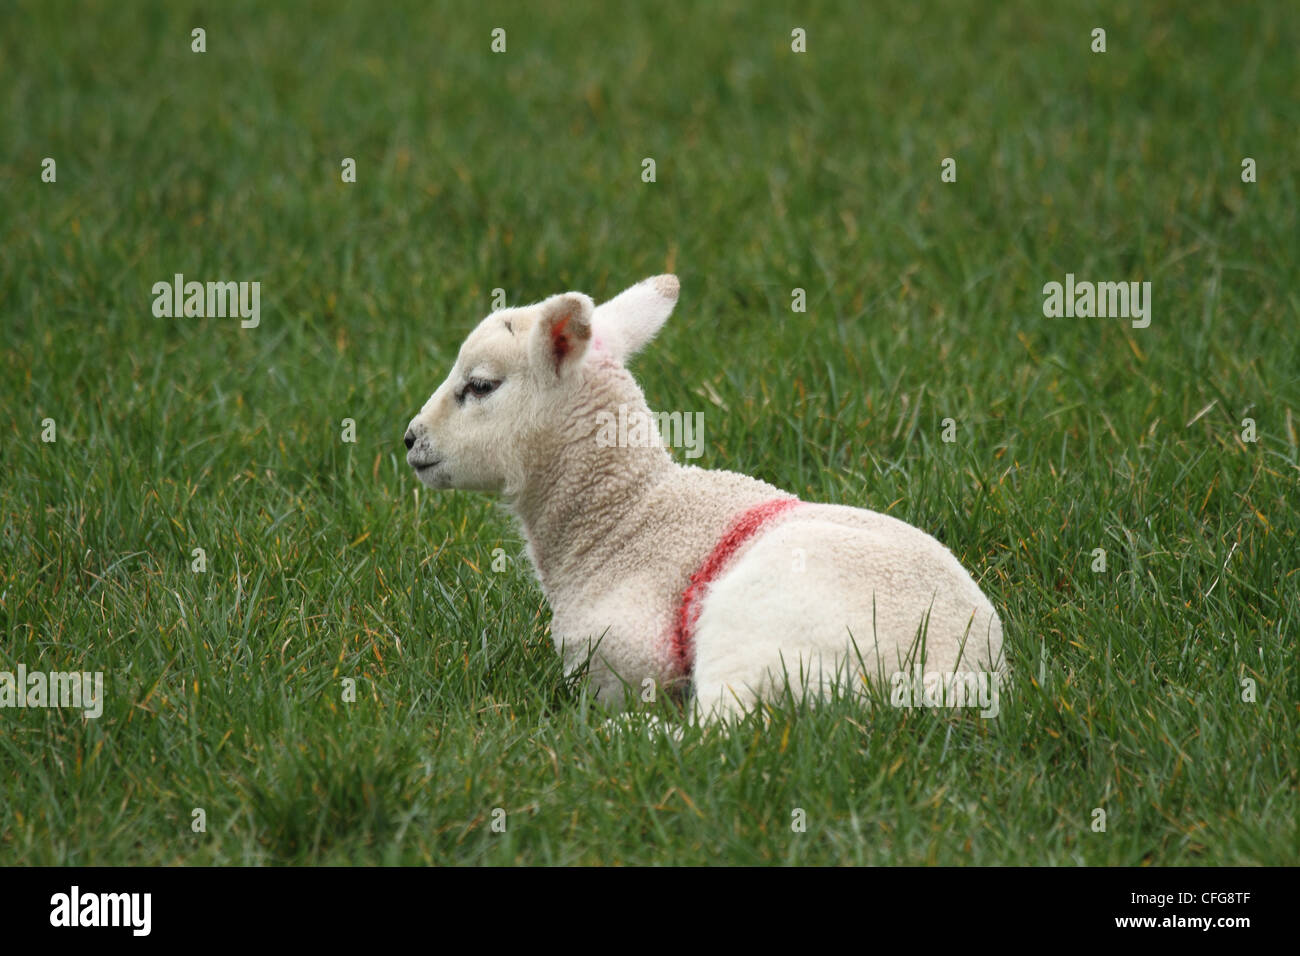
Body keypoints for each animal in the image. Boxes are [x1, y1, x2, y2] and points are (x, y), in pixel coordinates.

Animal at [404, 275, 1005, 721]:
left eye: (480, 386)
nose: (410, 439)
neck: (624, 514)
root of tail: (955, 672)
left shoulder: (622, 657)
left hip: (762, 629)